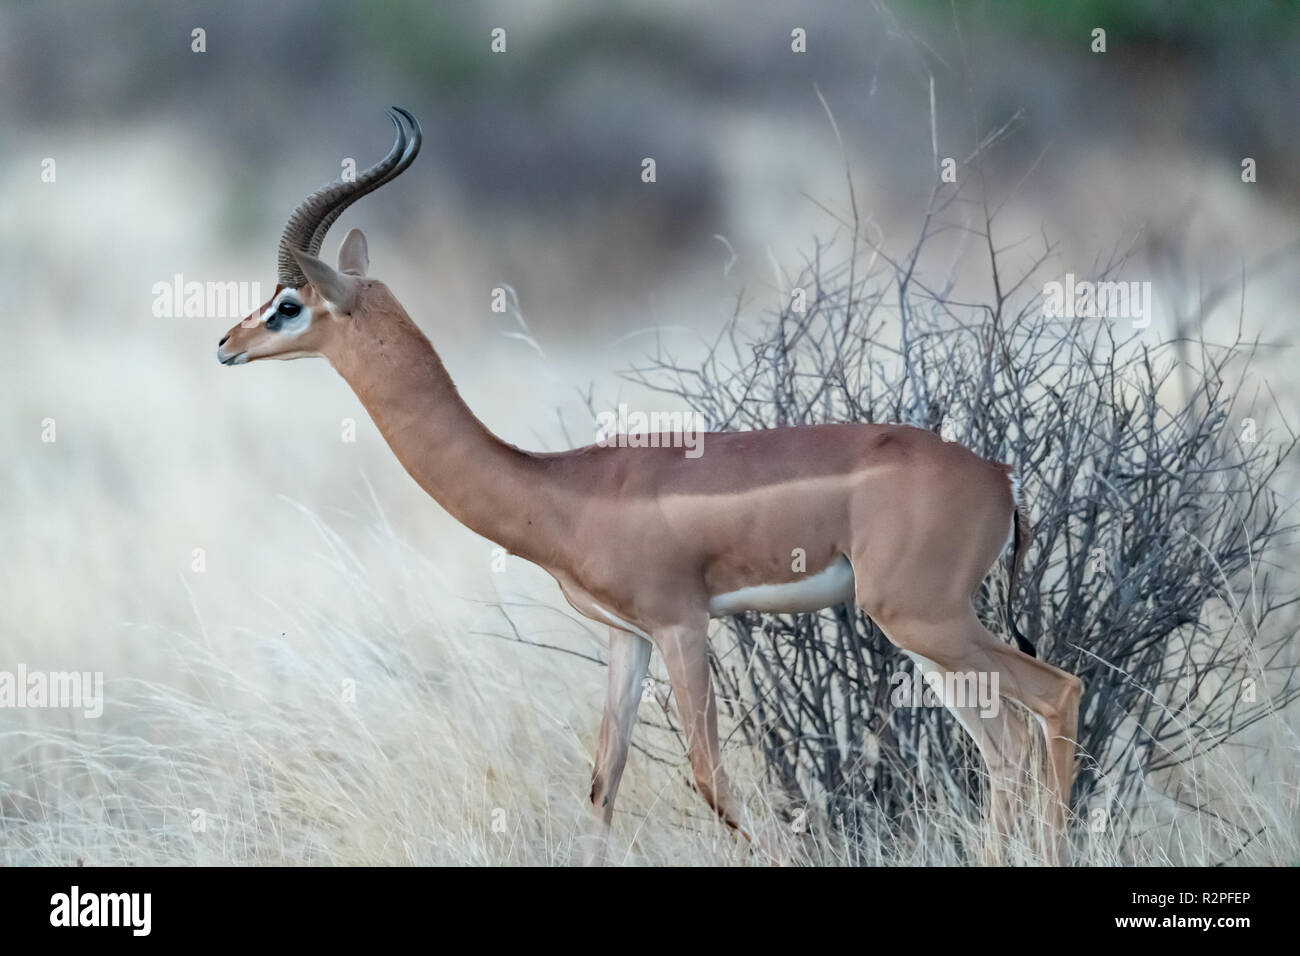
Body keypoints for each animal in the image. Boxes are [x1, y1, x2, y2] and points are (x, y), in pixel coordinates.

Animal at [217, 108, 1083, 864]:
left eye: (288, 304)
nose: (226, 344)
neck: (557, 486)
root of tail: (1000, 477)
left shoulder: (681, 625)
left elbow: (714, 781)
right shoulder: (624, 638)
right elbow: (603, 783)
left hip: (924, 619)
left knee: (1053, 696)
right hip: (926, 633)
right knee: (1004, 744)